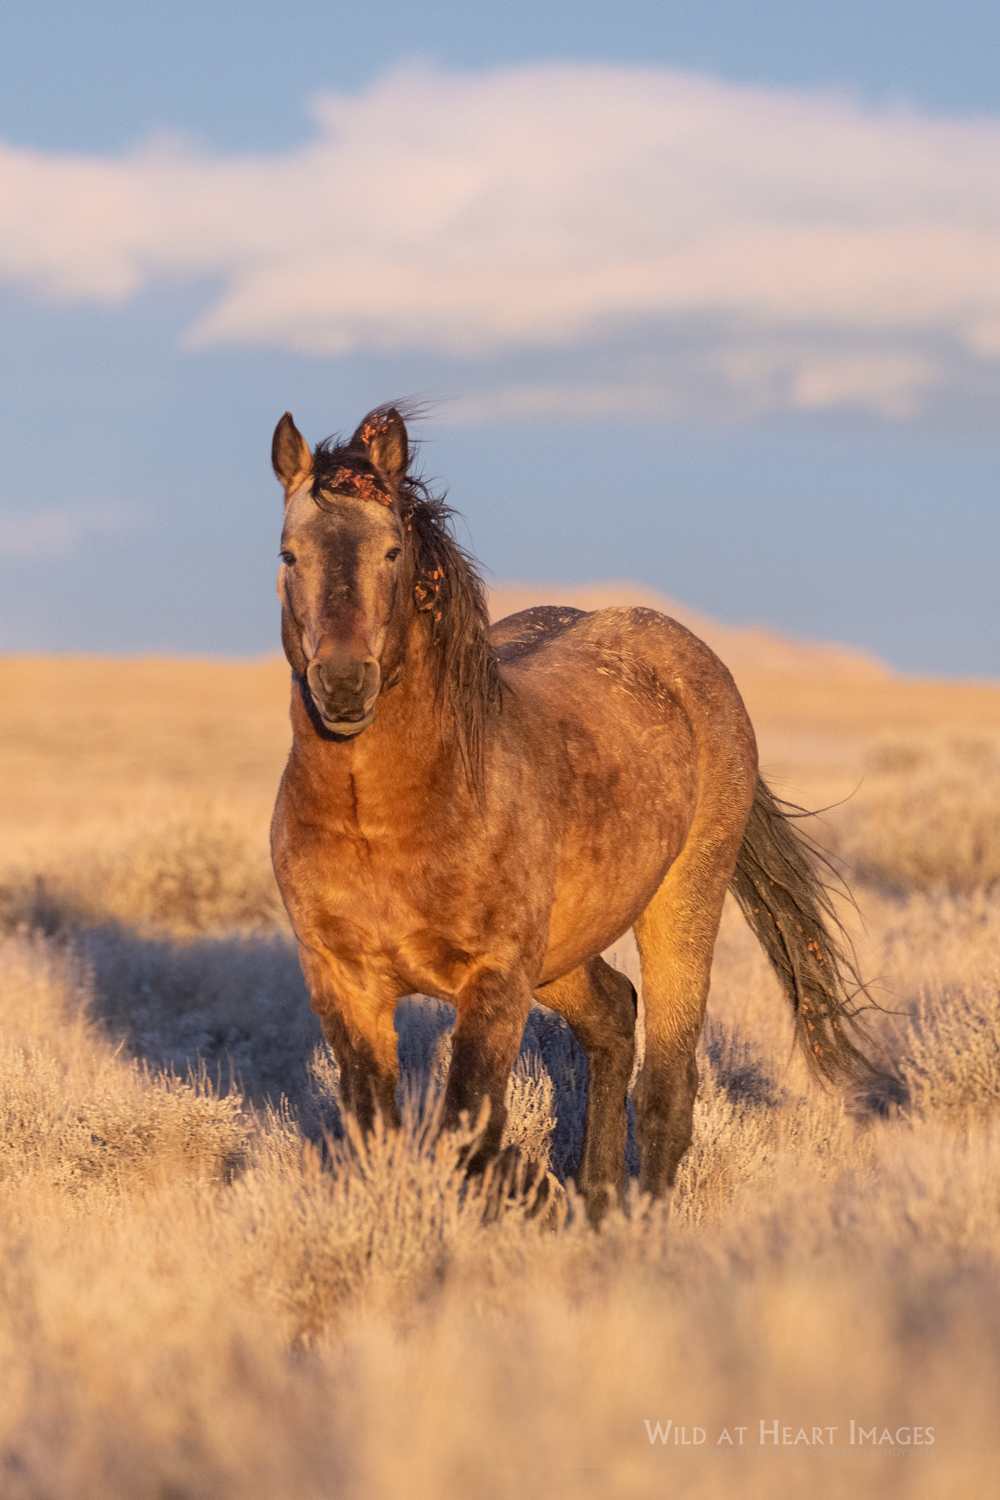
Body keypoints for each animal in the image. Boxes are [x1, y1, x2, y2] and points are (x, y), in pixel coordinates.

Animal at [269, 403, 874, 1223]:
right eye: (290, 554)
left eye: (392, 551)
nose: (341, 683)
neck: (388, 820)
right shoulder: (344, 985)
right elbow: (381, 1140)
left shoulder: (494, 983)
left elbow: (470, 1135)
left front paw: (525, 1190)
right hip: (563, 952)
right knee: (614, 1015)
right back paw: (596, 1197)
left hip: (680, 907)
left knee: (667, 1090)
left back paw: (633, 1220)